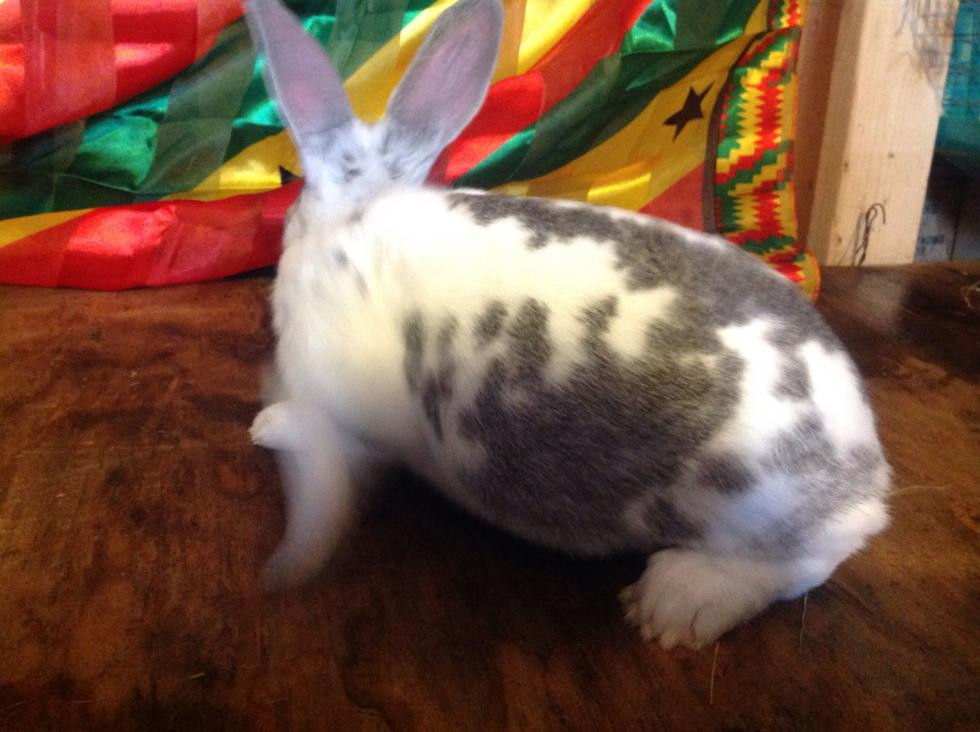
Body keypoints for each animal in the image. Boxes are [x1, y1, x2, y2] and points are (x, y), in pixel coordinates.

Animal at [244, 0, 890, 649]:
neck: (353, 216)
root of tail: (867, 478)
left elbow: (316, 450)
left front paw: (267, 434)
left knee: (799, 564)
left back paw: (671, 607)